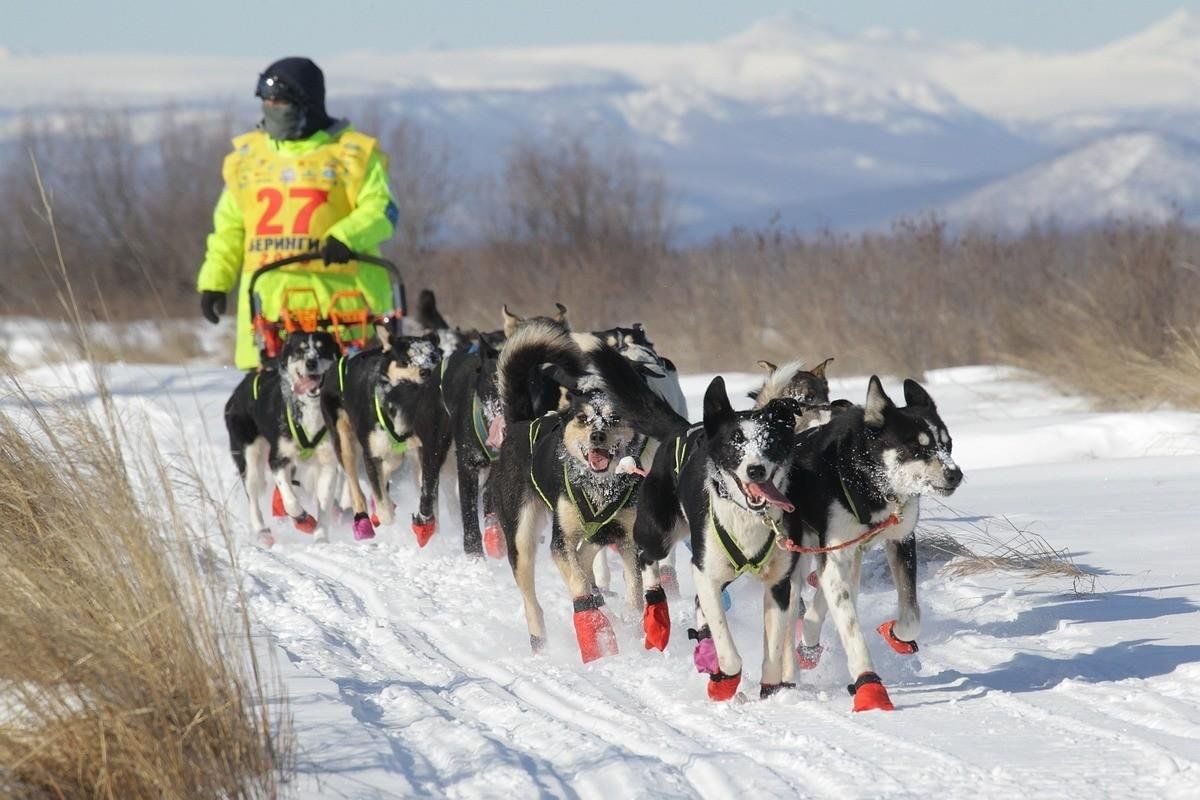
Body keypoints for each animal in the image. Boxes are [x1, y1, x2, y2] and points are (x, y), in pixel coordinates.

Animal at [225, 328, 343, 546]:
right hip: (250, 458)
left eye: (322, 349)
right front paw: (302, 518)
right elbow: (290, 500)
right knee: (253, 495)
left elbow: (324, 505)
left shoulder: (327, 464)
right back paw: (262, 531)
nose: (311, 363)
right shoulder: (278, 459)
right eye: (300, 350)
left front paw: (321, 537)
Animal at [319, 319, 451, 544]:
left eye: (433, 357)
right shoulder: (371, 453)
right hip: (344, 442)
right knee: (355, 486)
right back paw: (363, 520)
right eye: (406, 360)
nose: (426, 371)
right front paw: (384, 511)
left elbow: (427, 492)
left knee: (392, 464)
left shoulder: (425, 451)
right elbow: (383, 507)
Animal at [492, 319, 657, 662]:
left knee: (587, 554)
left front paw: (632, 621)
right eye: (583, 418)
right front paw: (594, 624)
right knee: (533, 600)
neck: (599, 486)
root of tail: (519, 424)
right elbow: (578, 581)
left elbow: (634, 591)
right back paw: (540, 642)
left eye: (615, 417)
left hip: (600, 532)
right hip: (521, 537)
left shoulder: (627, 536)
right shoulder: (561, 540)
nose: (597, 436)